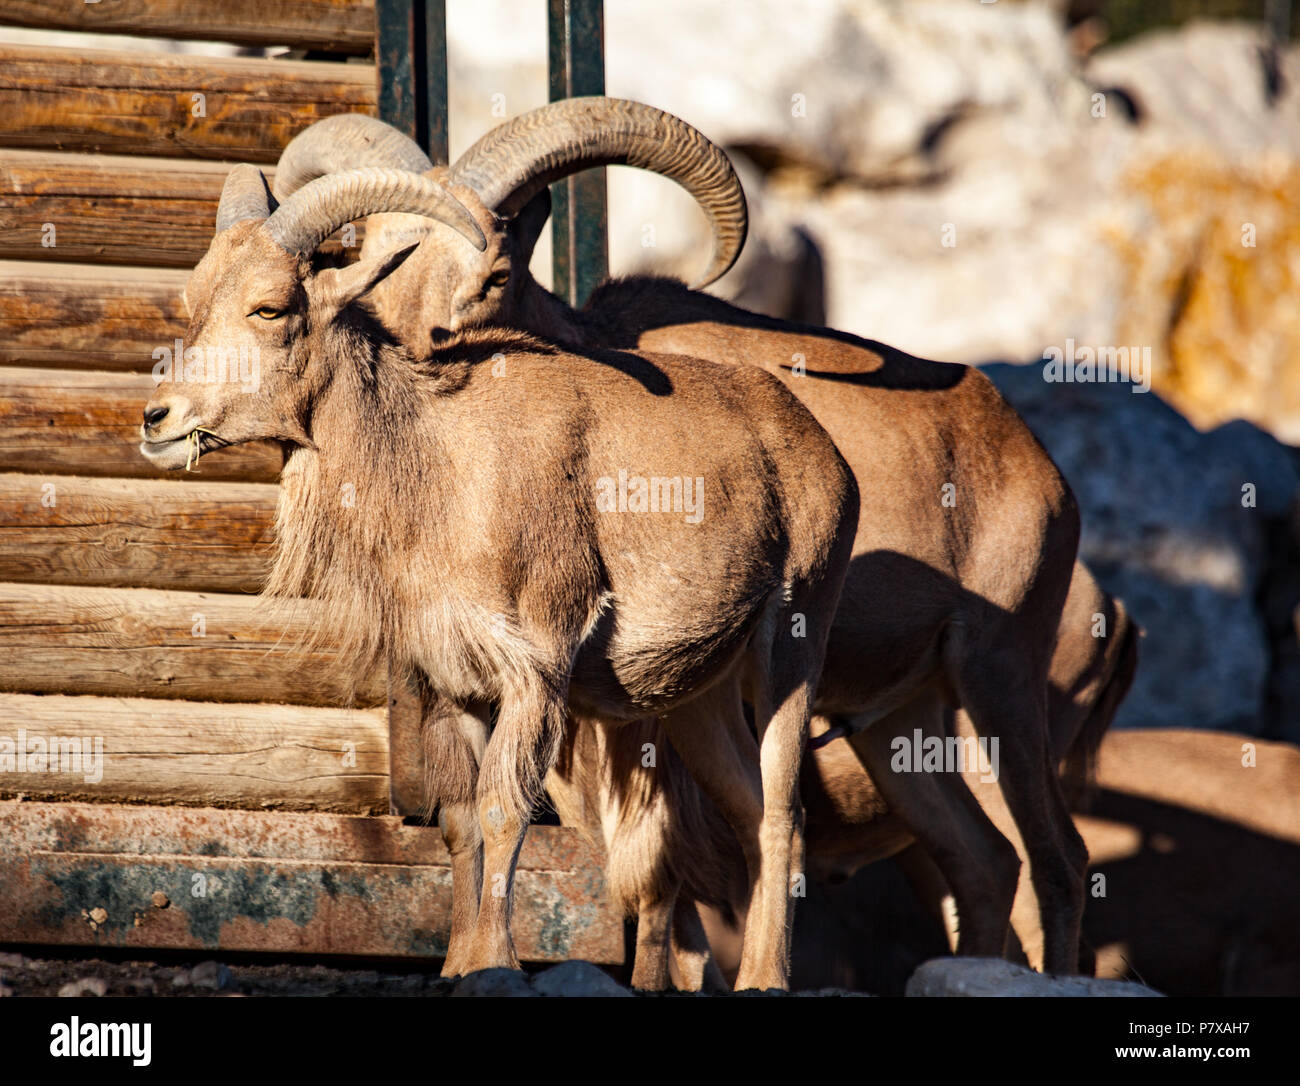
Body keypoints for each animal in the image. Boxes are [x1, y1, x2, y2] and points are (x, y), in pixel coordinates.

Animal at [138, 163, 859, 990]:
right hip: (697, 697)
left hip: (794, 642)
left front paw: (495, 963)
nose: (158, 419)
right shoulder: (454, 686)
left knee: (784, 809)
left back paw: (767, 975)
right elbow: (459, 825)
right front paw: (457, 965)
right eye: (195, 297)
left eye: (270, 306)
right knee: (747, 806)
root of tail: (819, 446)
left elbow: (502, 811)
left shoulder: (536, 671)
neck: (440, 467)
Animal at [275, 100, 1088, 977]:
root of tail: (1047, 474)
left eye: (494, 275)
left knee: (1057, 858)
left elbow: (657, 868)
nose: (419, 355)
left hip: (1000, 674)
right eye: (379, 259)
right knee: (983, 859)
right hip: (899, 719)